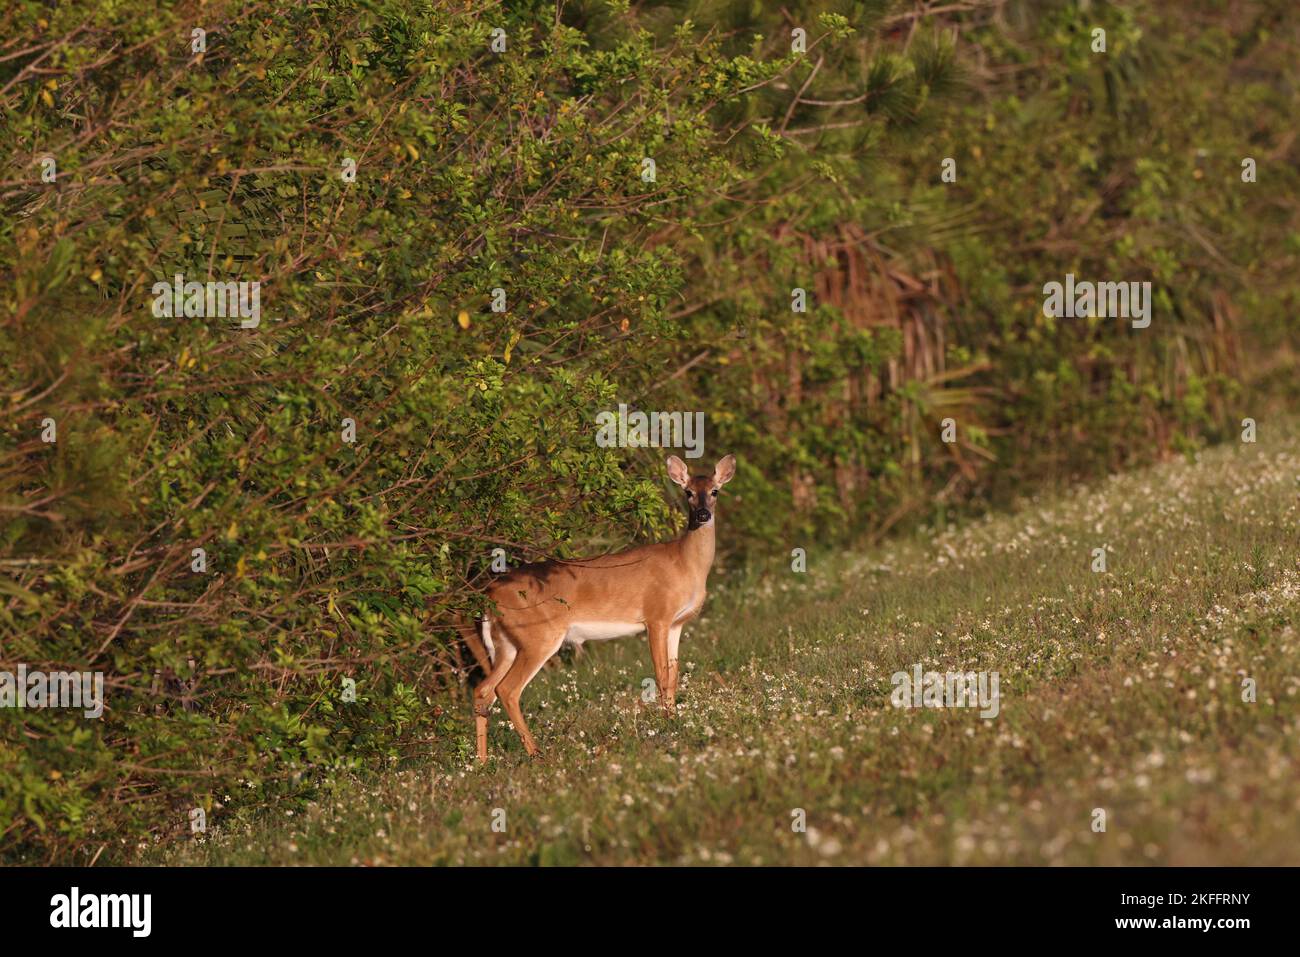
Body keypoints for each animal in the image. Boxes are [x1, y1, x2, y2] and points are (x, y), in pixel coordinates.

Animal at [458, 454, 736, 762]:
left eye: (714, 491)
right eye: (687, 492)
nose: (703, 515)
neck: (685, 563)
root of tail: (489, 595)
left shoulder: (676, 623)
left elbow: (673, 675)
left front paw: (674, 720)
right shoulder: (656, 616)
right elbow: (661, 674)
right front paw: (666, 724)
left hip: (506, 644)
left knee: (483, 689)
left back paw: (482, 762)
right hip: (538, 636)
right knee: (507, 689)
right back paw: (536, 753)